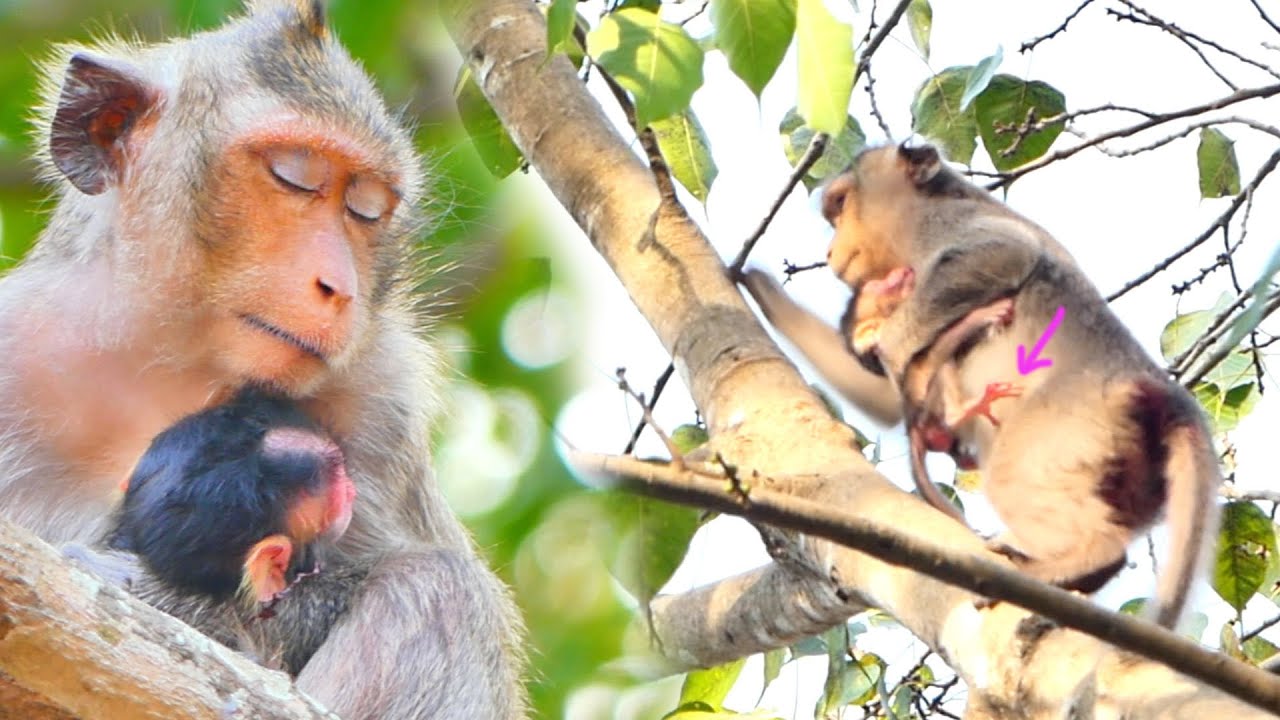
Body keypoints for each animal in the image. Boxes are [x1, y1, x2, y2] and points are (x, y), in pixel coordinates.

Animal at [0, 2, 526, 717]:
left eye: (365, 208)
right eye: (291, 175)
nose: (339, 287)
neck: (169, 361)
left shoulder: (380, 393)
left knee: (438, 589)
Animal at [820, 143, 1221, 628]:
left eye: (840, 205)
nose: (829, 250)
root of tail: (1156, 391)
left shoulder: (943, 226)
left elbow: (1002, 253)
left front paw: (893, 347)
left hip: (1065, 421)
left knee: (1014, 471)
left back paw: (1087, 559)